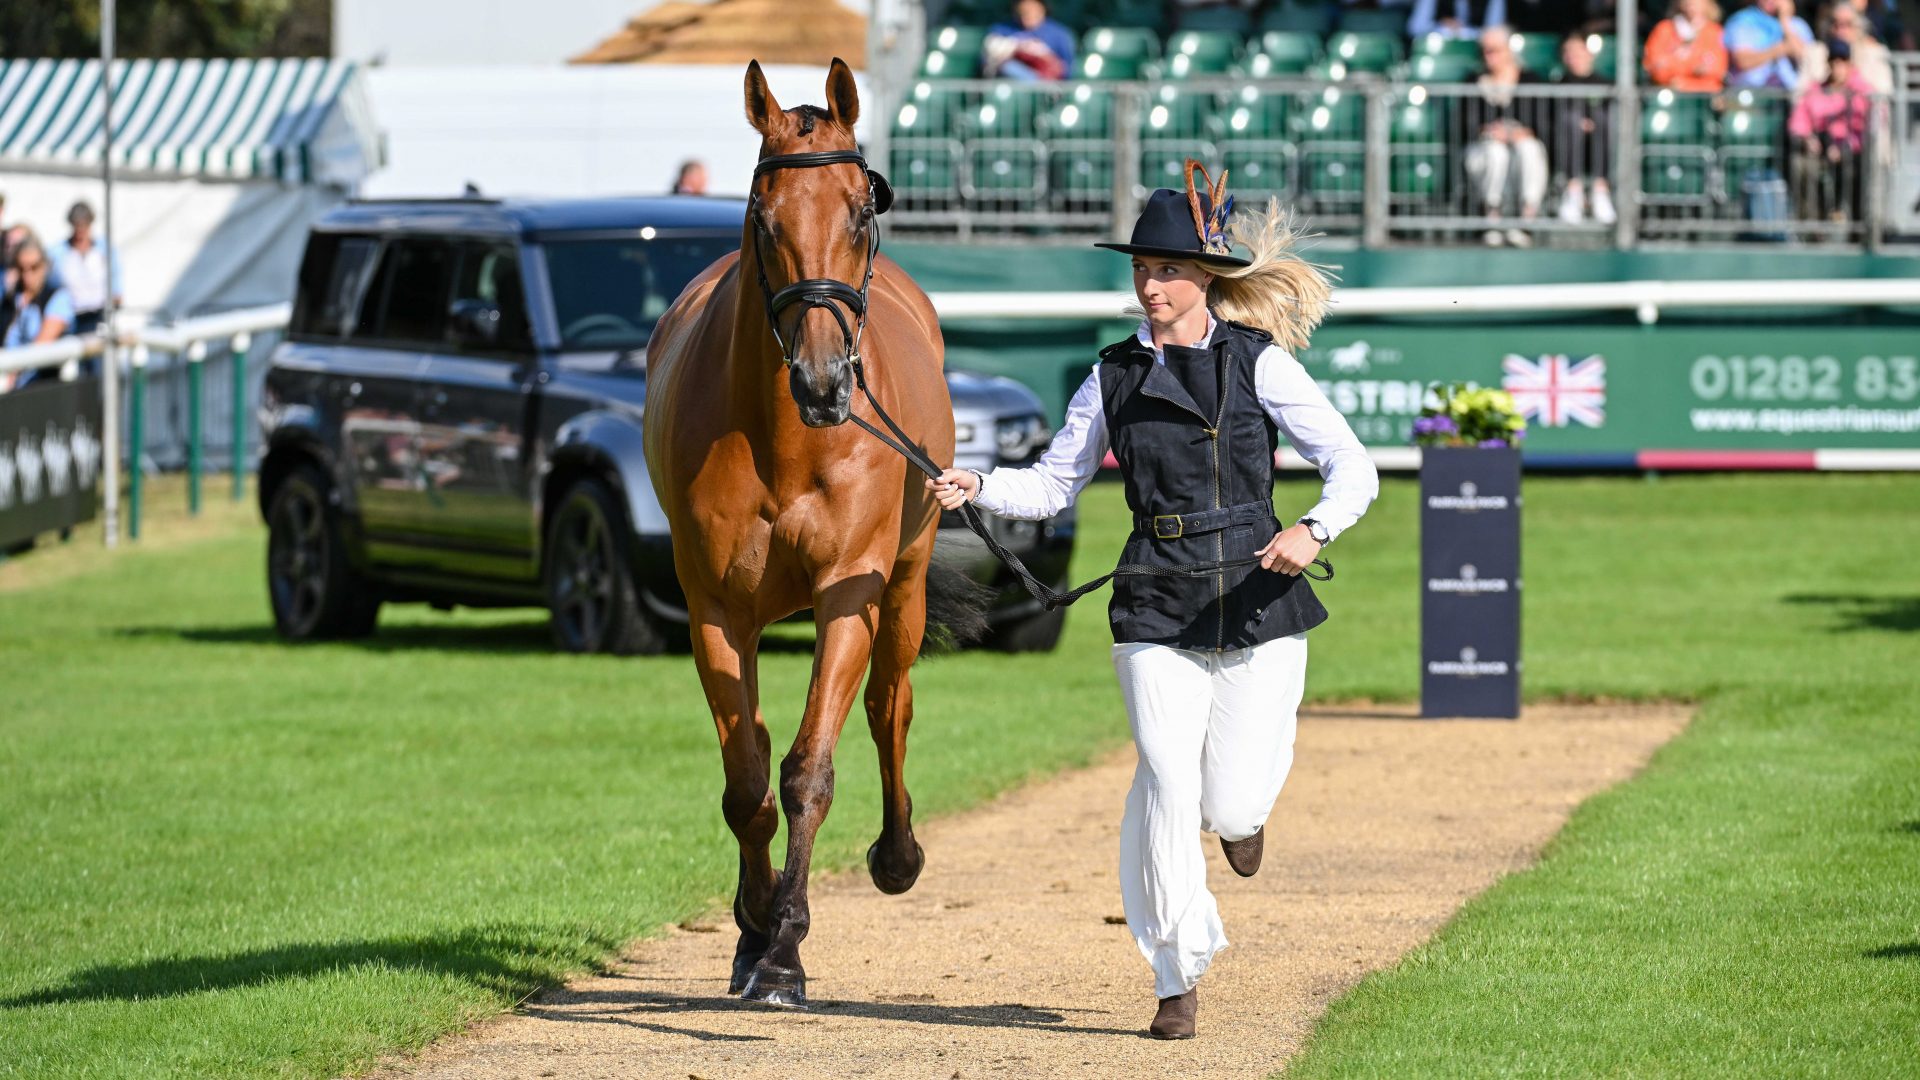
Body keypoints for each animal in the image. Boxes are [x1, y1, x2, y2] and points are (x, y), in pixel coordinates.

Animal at [642, 58, 978, 1007]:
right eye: (765, 219)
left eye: (861, 210)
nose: (825, 381)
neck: (790, 441)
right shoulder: (717, 612)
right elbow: (748, 781)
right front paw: (755, 933)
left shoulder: (847, 596)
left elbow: (808, 771)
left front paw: (786, 948)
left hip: (903, 587)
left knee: (889, 705)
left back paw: (897, 856)